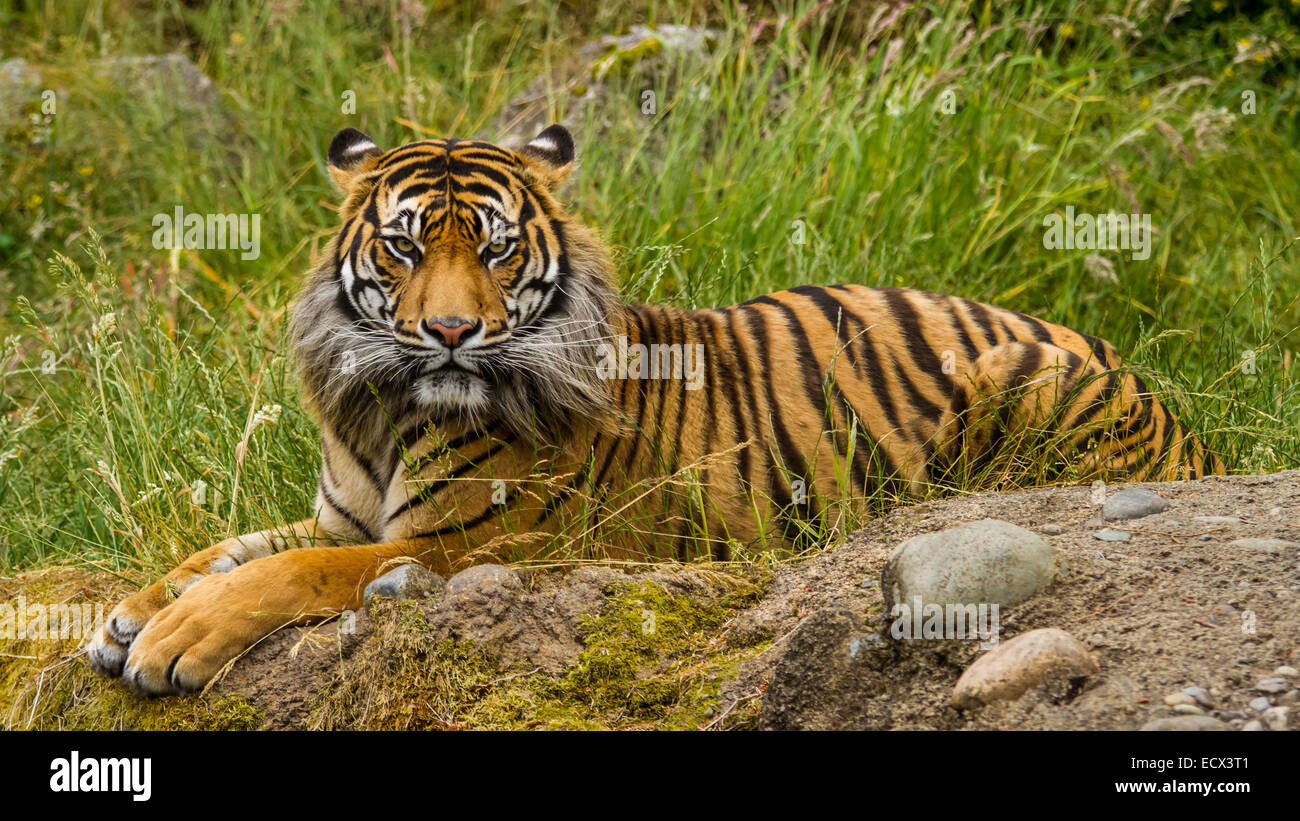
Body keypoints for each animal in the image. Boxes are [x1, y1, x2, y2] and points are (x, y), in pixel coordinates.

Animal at [88, 124, 1222, 695]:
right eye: (405, 246)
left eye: (497, 248)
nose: (451, 332)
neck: (379, 405)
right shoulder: (346, 511)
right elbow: (226, 548)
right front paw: (131, 614)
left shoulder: (477, 542)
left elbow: (292, 570)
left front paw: (175, 642)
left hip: (1015, 377)